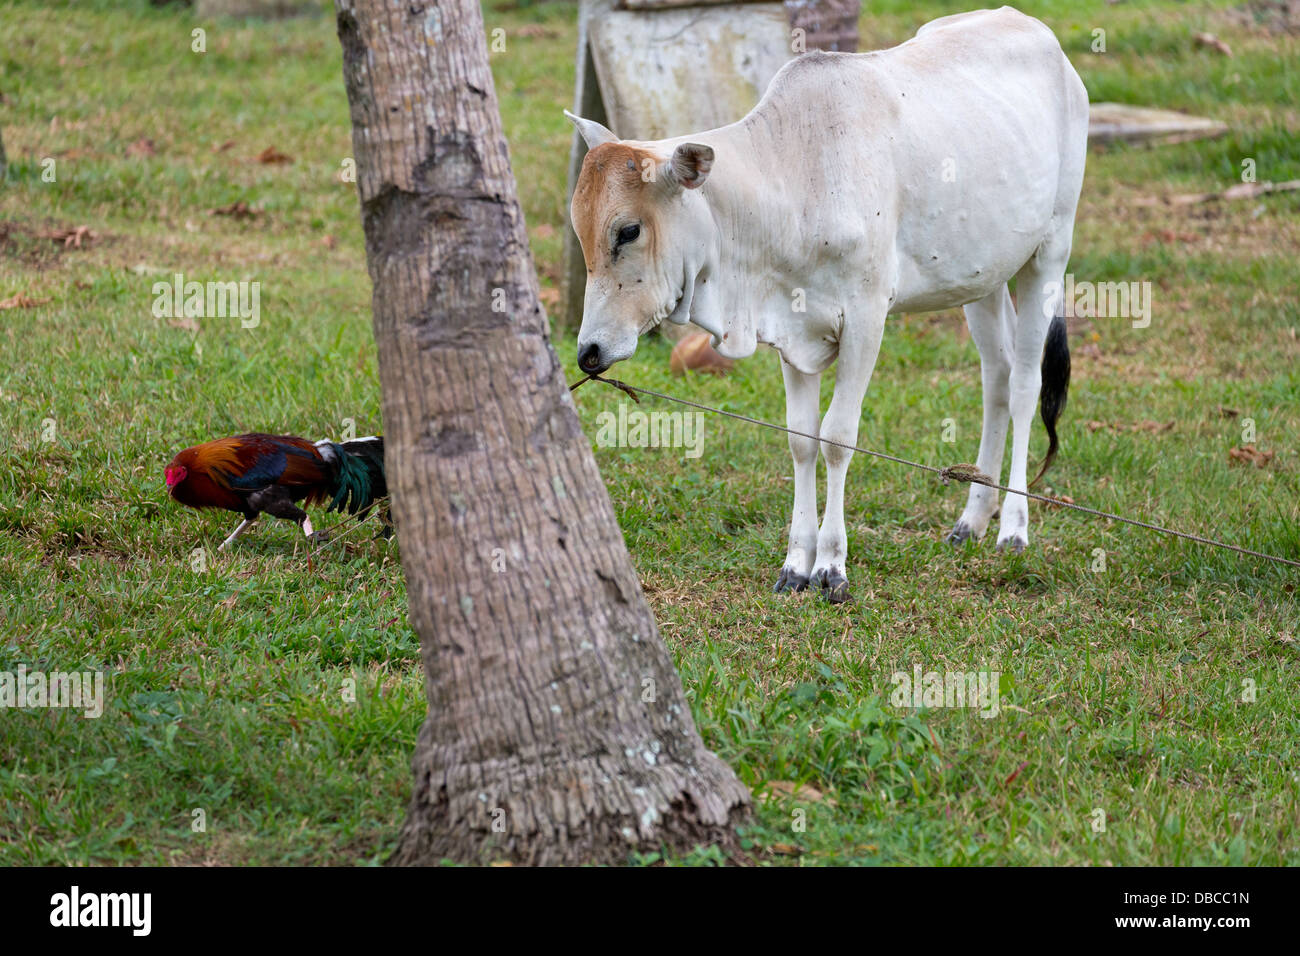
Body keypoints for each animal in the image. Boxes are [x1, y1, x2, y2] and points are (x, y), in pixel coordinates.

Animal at [566, 6, 1087, 603]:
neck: (795, 182)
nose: (589, 352)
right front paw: (796, 563)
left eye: (628, 230)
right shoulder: (794, 334)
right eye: (581, 231)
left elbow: (838, 438)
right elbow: (801, 440)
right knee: (996, 380)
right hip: (981, 279)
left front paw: (832, 565)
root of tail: (1033, 28)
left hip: (1049, 252)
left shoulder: (865, 319)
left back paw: (1013, 529)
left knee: (1024, 386)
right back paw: (973, 519)